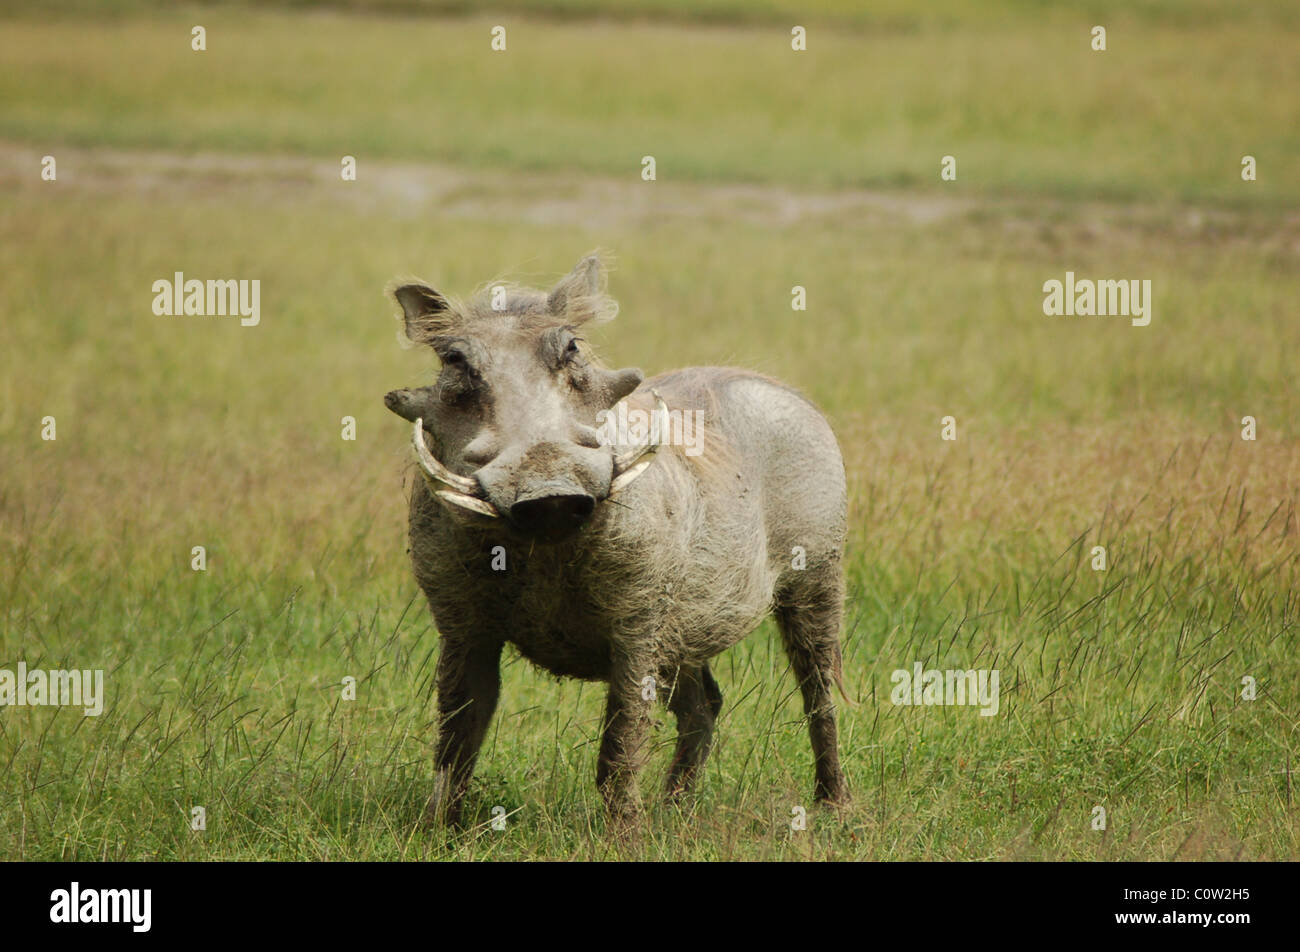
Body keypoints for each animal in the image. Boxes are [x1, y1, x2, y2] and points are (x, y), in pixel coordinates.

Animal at [384, 254, 850, 831]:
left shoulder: (637, 624)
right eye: (454, 359)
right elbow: (456, 734)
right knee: (704, 705)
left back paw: (834, 805)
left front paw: (623, 837)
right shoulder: (462, 625)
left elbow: (621, 742)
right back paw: (674, 811)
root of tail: (786, 391)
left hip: (817, 578)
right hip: (684, 631)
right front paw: (437, 834)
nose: (550, 494)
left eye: (572, 348)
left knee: (819, 694)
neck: (546, 551)